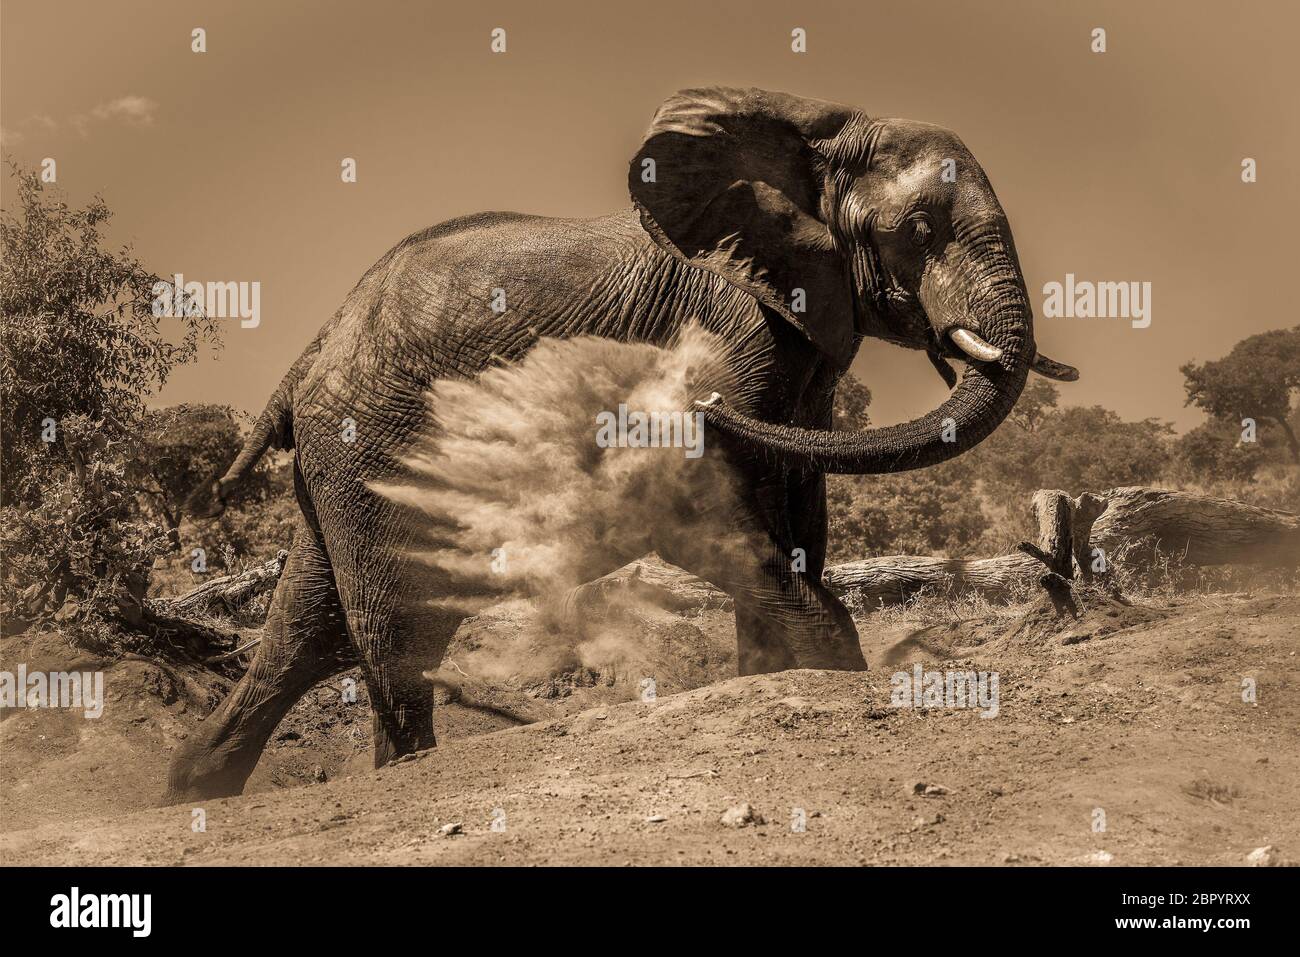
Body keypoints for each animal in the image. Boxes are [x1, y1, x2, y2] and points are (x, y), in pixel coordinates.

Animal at [164, 86, 1077, 802]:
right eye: (919, 227)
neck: (809, 140)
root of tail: (309, 354)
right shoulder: (730, 323)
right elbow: (701, 507)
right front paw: (833, 672)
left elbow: (798, 508)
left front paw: (772, 676)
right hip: (366, 450)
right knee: (393, 629)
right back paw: (399, 771)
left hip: (344, 464)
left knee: (306, 632)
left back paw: (191, 788)